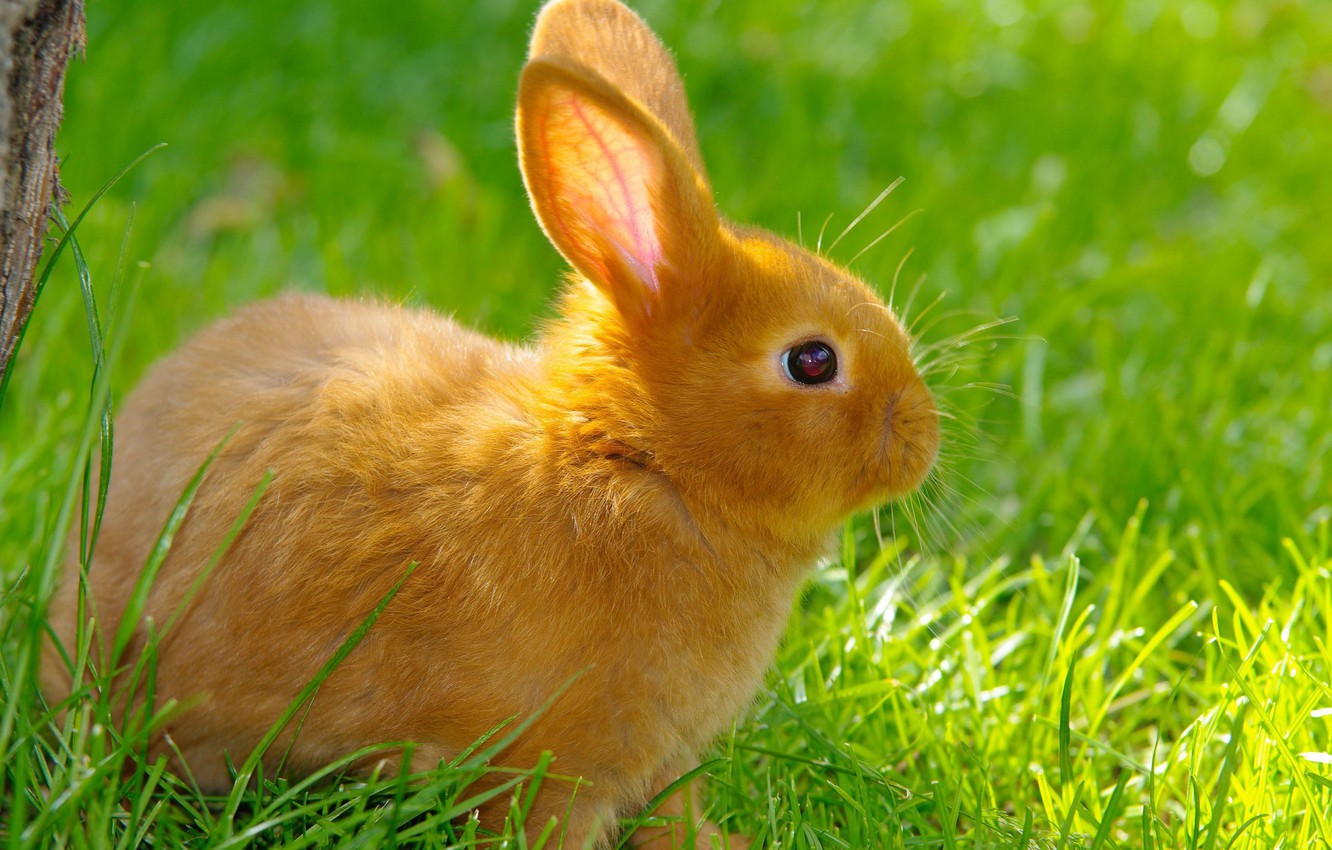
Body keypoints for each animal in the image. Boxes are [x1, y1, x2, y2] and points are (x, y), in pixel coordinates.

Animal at [41, 0, 941, 847]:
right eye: (813, 361)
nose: (924, 436)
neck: (643, 462)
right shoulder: (550, 769)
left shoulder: (659, 759)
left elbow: (673, 814)